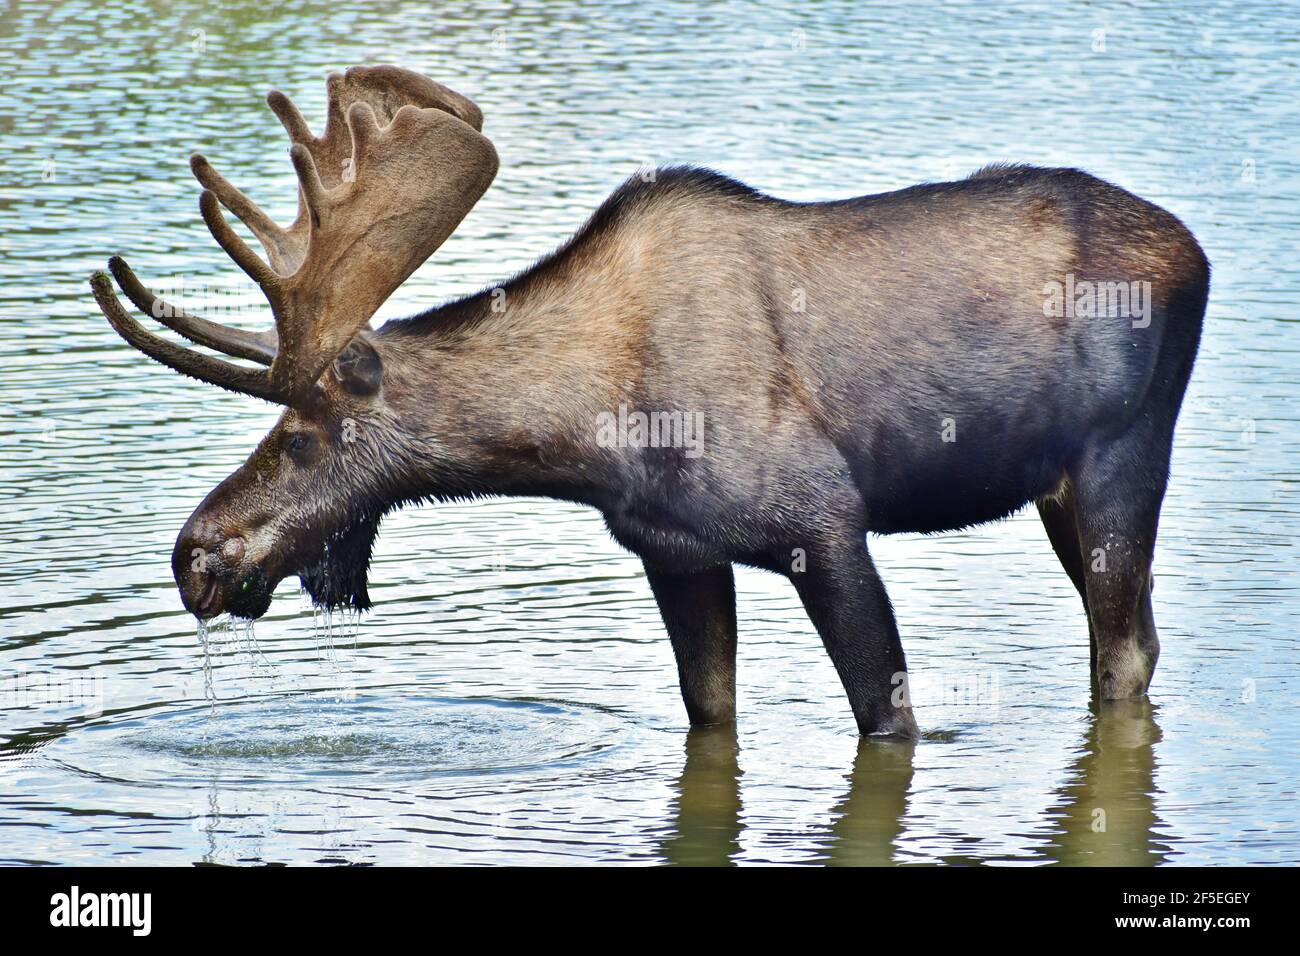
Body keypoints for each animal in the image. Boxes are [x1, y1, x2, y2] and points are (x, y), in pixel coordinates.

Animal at [90, 66, 1209, 739]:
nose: (194, 553)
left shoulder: (825, 525)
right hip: (1058, 489)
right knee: (1139, 641)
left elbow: (885, 713)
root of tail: (1193, 250)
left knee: (1120, 654)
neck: (588, 441)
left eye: (303, 436)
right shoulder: (675, 550)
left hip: (1124, 455)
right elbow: (707, 709)